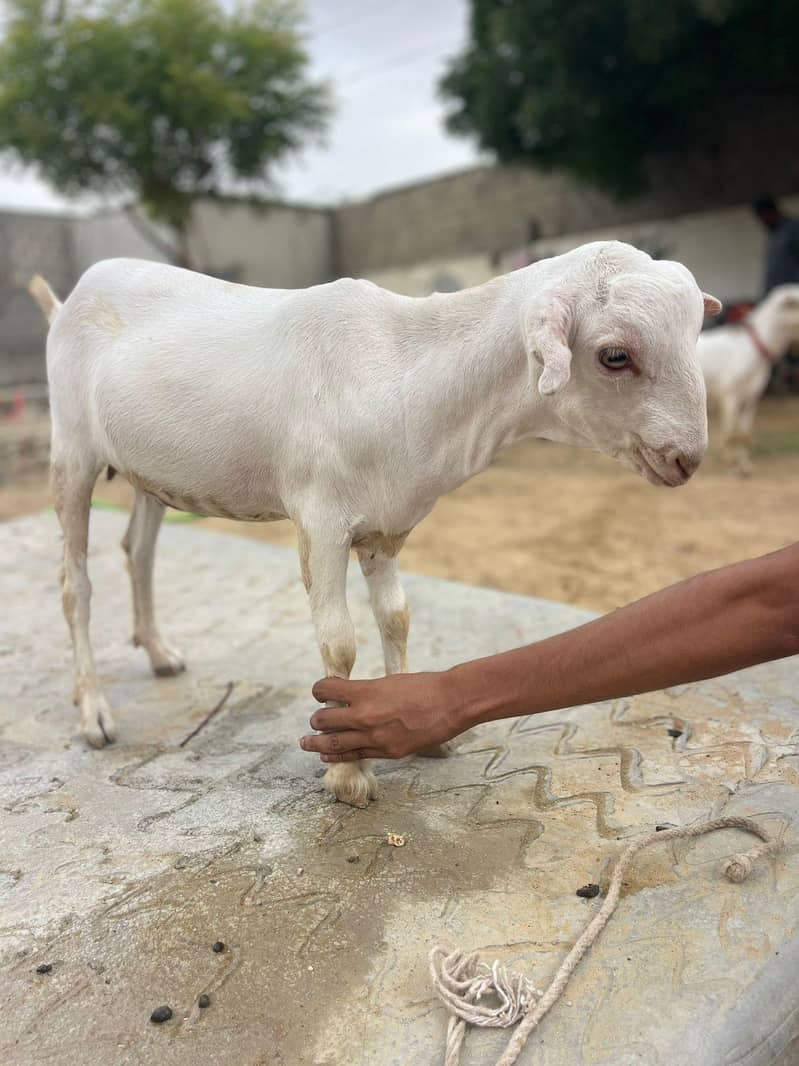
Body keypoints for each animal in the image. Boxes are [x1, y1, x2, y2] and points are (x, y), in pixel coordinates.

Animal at [29, 241, 720, 806]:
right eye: (615, 355)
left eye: (696, 334)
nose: (687, 459)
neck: (405, 374)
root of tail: (71, 297)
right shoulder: (320, 519)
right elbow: (339, 640)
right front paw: (347, 774)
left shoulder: (388, 522)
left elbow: (396, 617)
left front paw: (418, 732)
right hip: (72, 450)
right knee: (74, 583)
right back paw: (94, 713)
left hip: (147, 470)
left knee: (138, 550)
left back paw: (158, 651)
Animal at [698, 284, 799, 474]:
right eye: (795, 303)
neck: (750, 349)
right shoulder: (730, 397)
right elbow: (730, 433)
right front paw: (731, 465)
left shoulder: (752, 398)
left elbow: (744, 434)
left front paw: (745, 465)